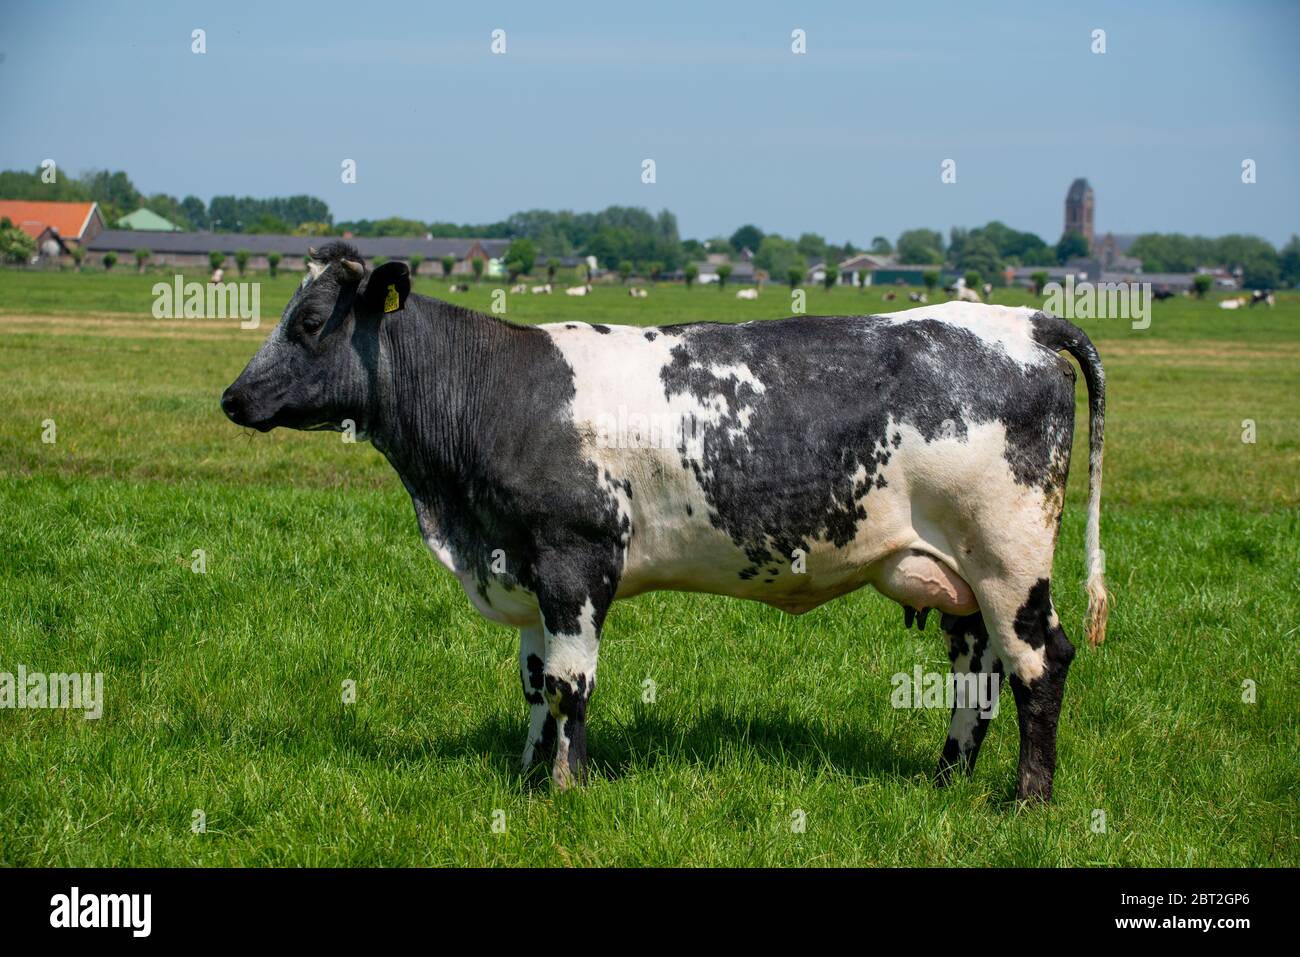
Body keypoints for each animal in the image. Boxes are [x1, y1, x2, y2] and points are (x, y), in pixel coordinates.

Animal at [222, 243, 1108, 802]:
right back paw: (946, 779)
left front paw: (566, 790)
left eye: (309, 323)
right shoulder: (527, 568)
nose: (233, 396)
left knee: (1039, 662)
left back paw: (1027, 801)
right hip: (955, 571)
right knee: (976, 672)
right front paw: (526, 777)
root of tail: (1024, 322)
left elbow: (571, 684)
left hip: (1008, 553)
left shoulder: (576, 562)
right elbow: (534, 682)